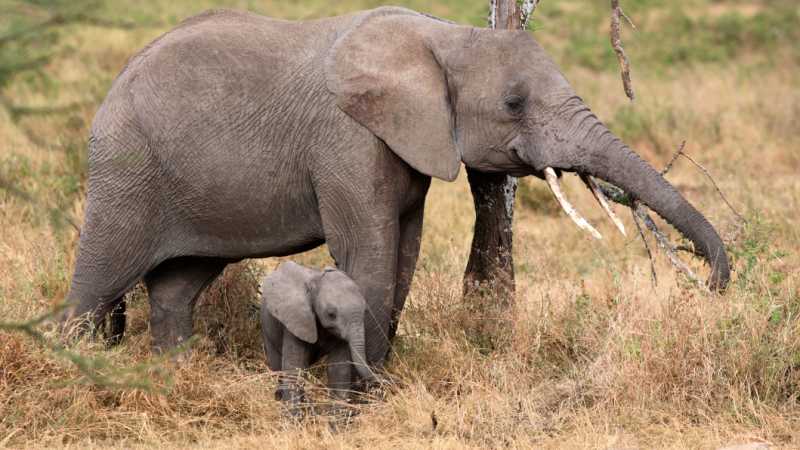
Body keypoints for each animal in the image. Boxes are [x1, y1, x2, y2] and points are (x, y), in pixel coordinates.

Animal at [62, 6, 730, 372]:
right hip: (126, 169)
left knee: (178, 286)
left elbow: (403, 256)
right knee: (99, 280)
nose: (714, 284)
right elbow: (371, 257)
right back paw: (75, 368)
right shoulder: (348, 140)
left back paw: (174, 372)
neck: (445, 36)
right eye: (513, 104)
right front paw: (358, 397)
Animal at [260, 261, 375, 405]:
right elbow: (293, 368)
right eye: (331, 314)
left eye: (365, 311)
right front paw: (291, 411)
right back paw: (279, 397)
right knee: (277, 364)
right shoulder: (296, 319)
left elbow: (339, 370)